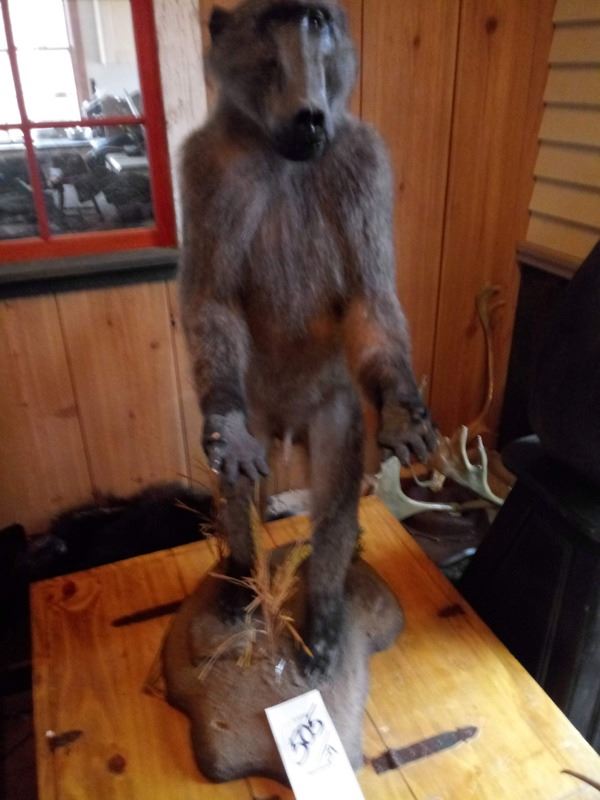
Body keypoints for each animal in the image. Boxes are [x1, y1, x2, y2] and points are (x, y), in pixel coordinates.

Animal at [179, 0, 437, 677]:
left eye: (316, 21)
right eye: (275, 28)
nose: (310, 115)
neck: (279, 155)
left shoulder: (365, 162)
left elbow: (372, 296)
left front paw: (401, 405)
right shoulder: (204, 168)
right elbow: (211, 301)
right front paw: (222, 421)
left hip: (333, 414)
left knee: (336, 504)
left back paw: (320, 618)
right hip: (262, 423)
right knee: (239, 488)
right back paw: (241, 590)